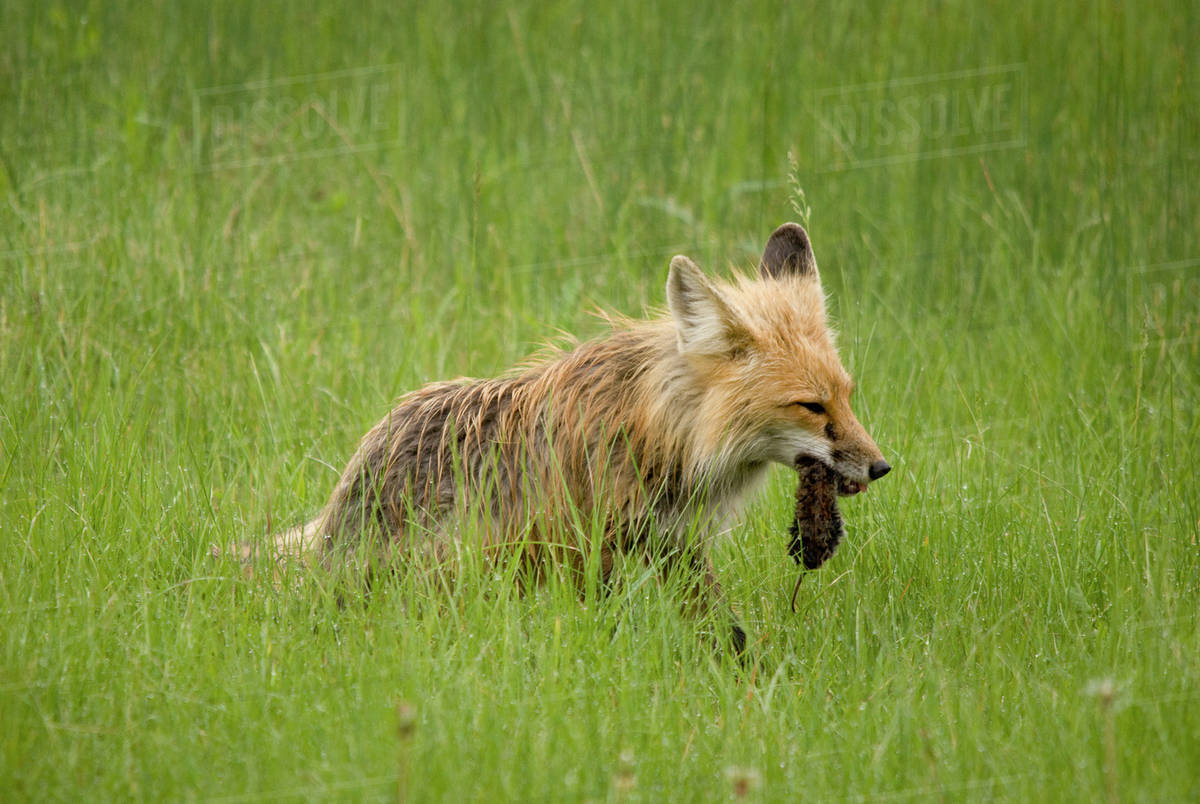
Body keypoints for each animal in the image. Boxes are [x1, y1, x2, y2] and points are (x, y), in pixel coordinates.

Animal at [261, 223, 889, 654]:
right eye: (810, 406)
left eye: (846, 395)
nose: (881, 467)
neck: (657, 431)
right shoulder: (594, 551)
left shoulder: (675, 544)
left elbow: (725, 632)